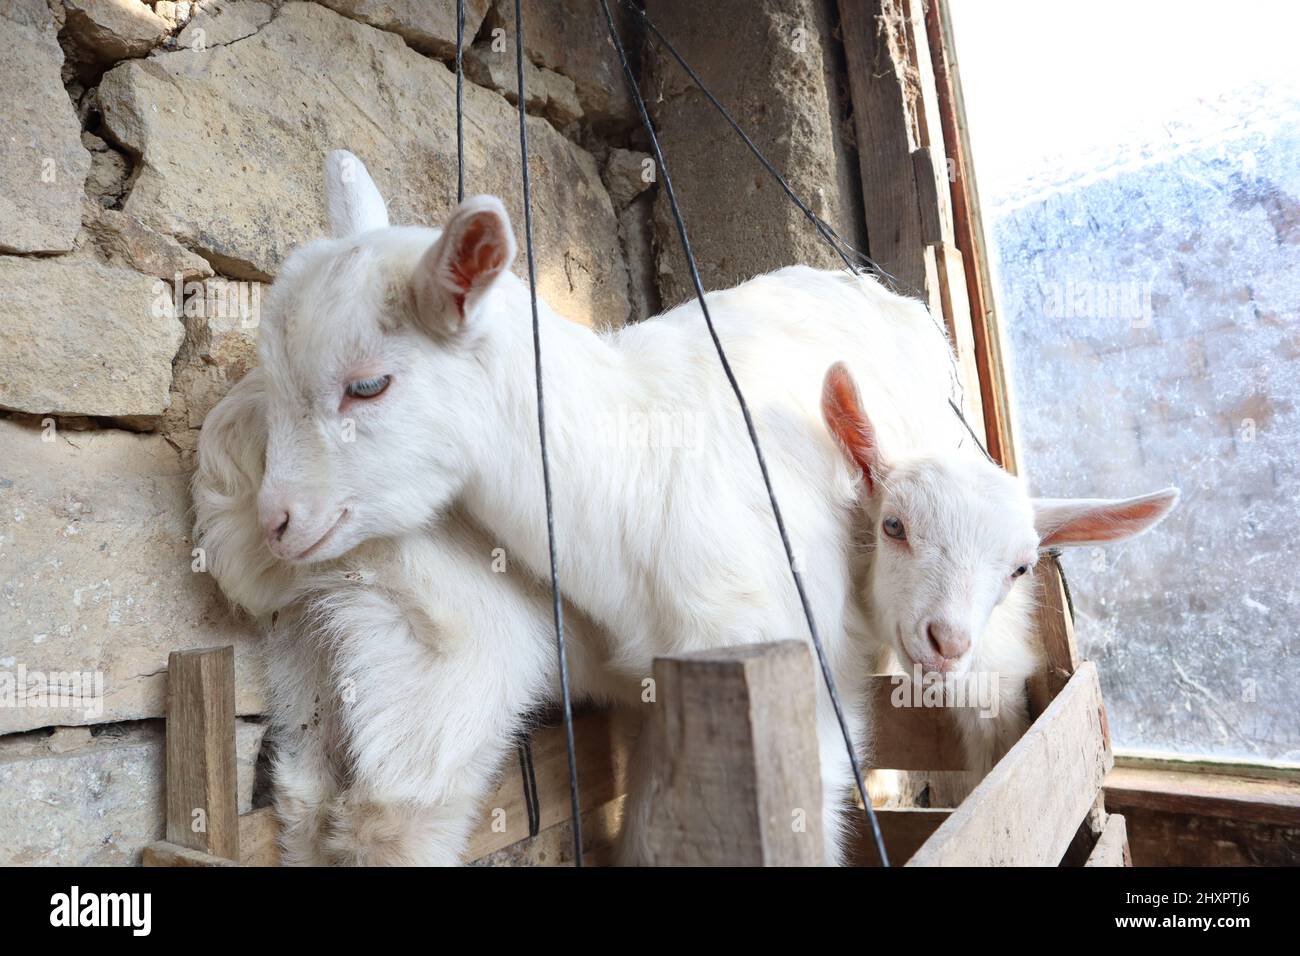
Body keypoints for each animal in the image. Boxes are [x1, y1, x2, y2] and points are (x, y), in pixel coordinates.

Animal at [217, 148, 1175, 864]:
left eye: (367, 385)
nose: (276, 521)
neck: (628, 467)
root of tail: (880, 290)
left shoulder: (787, 677)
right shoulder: (662, 680)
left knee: (995, 699)